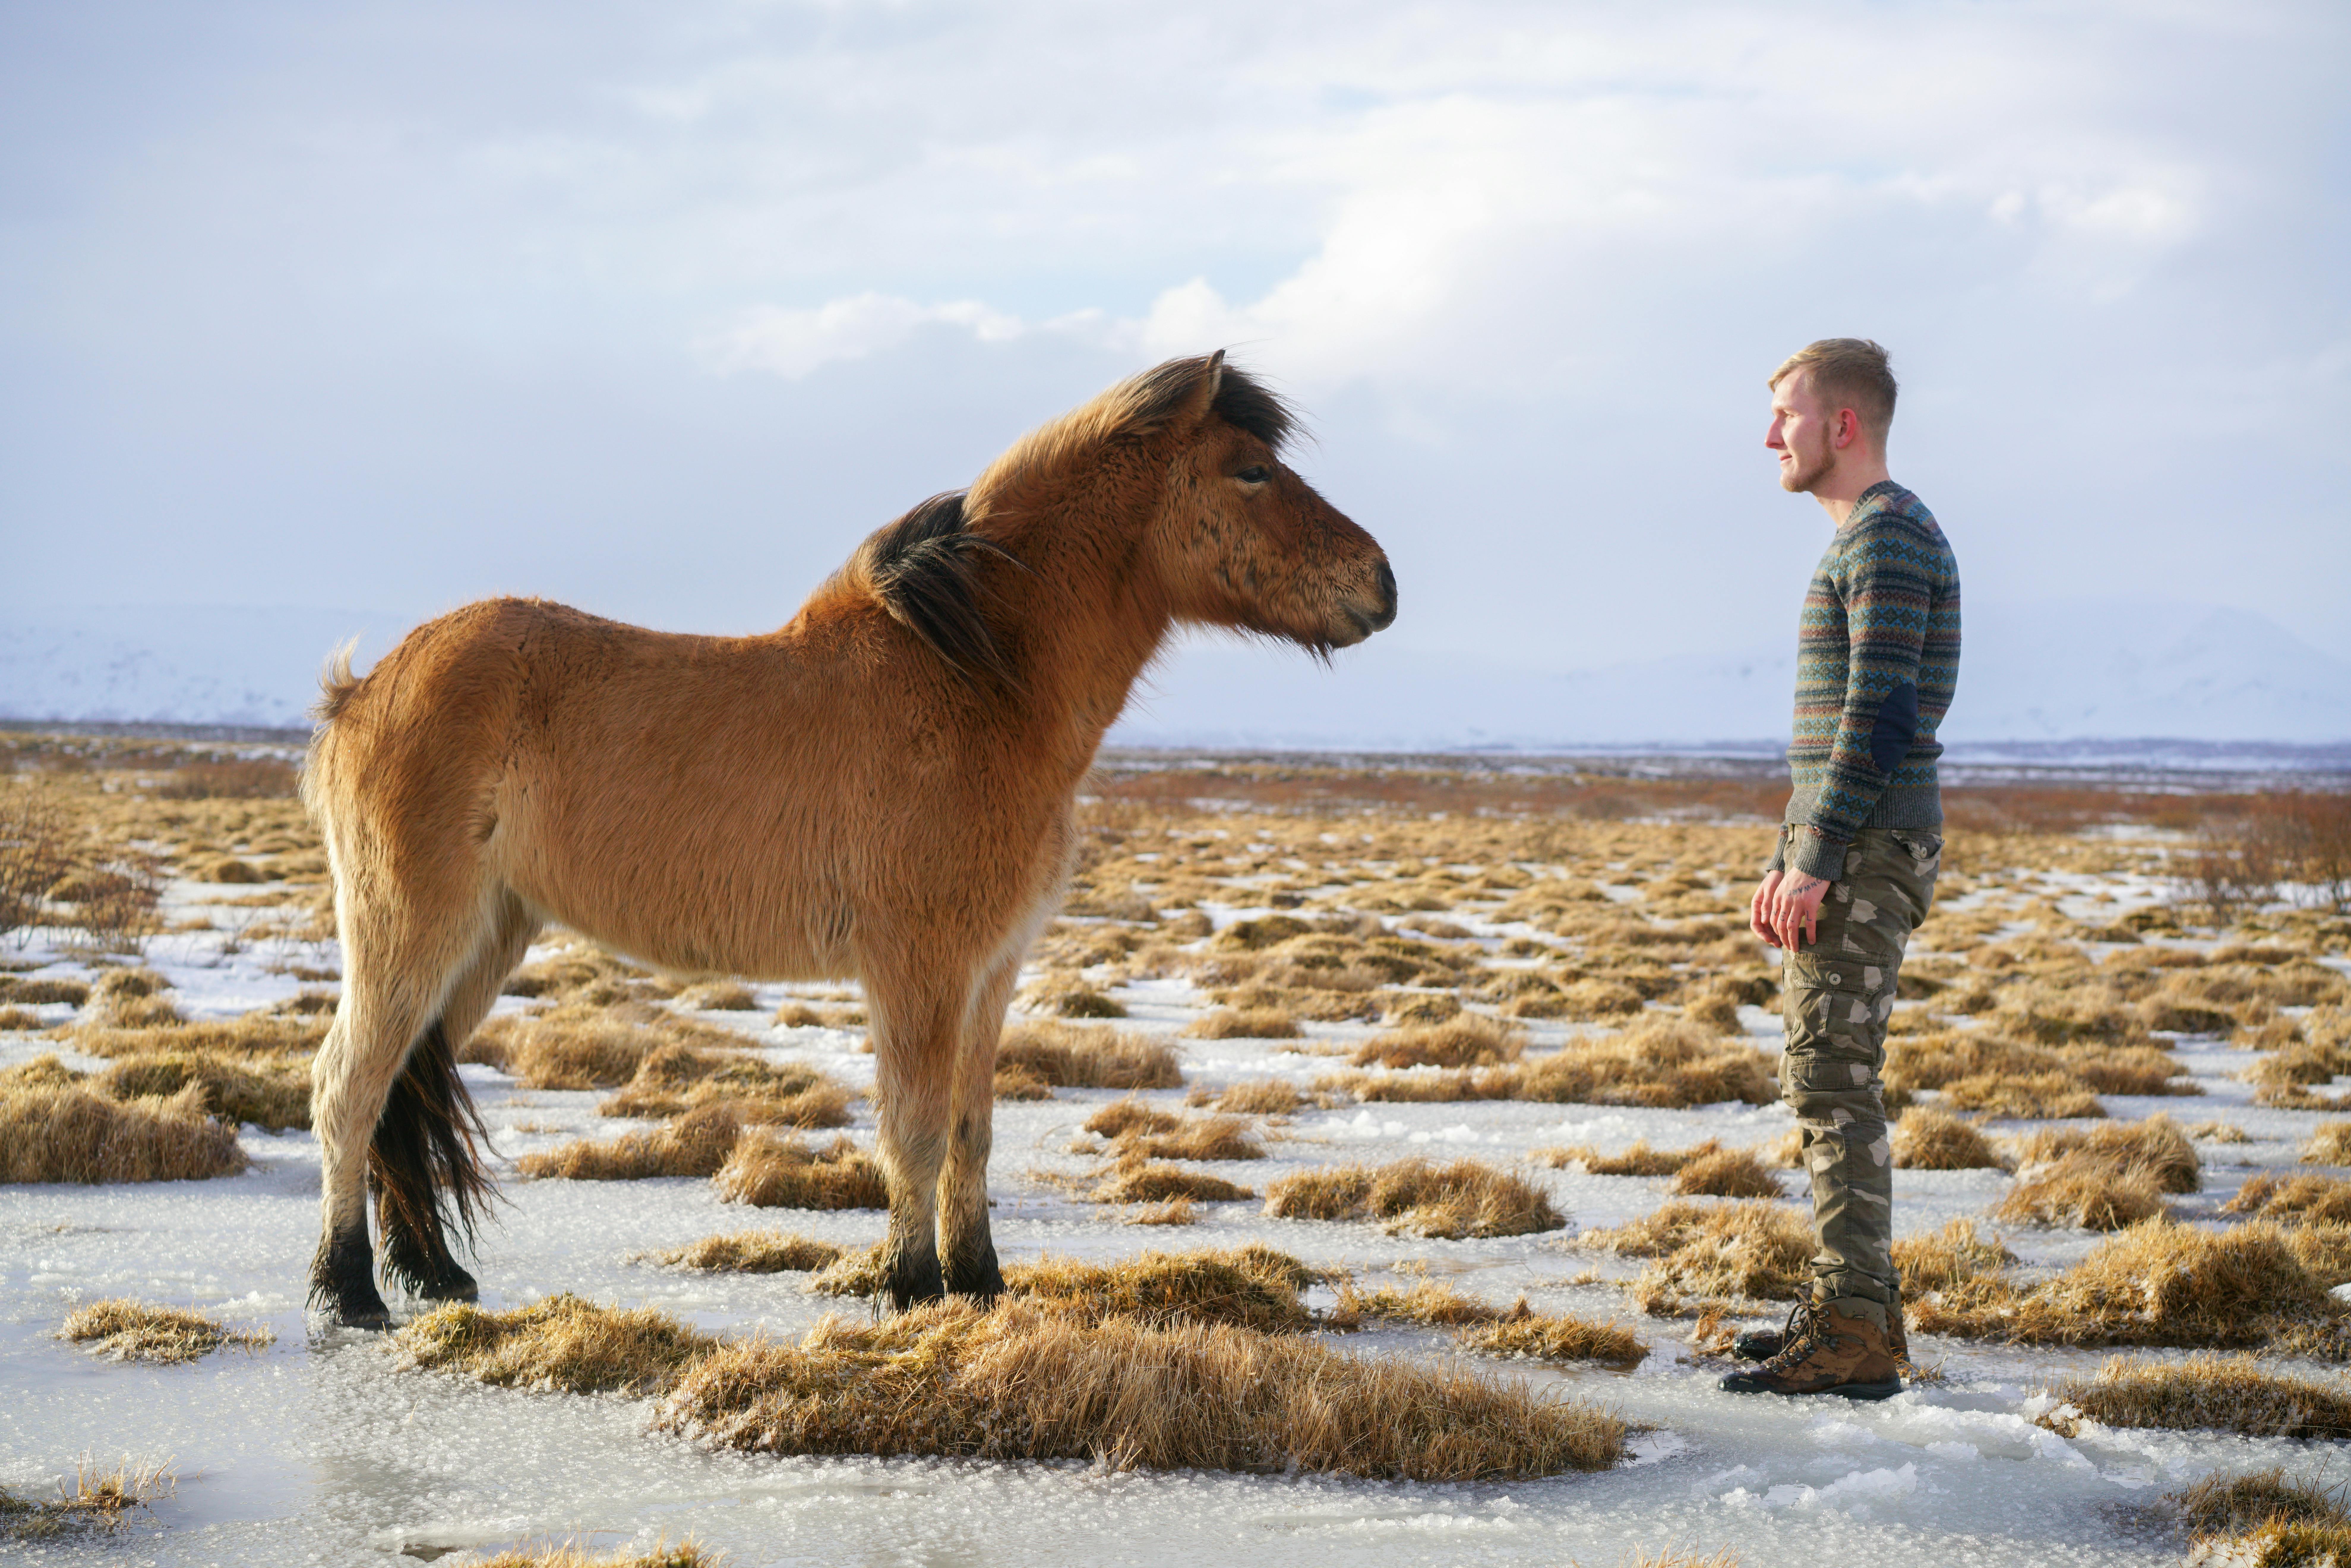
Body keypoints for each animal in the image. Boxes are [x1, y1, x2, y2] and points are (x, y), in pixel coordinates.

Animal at [299, 351, 1397, 1326]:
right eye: (1251, 470)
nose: (1382, 585)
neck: (976, 684)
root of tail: (364, 690)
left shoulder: (990, 971)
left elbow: (972, 1132)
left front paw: (980, 1285)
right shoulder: (918, 968)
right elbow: (913, 1133)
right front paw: (910, 1289)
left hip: (490, 938)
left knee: (401, 1090)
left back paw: (435, 1276)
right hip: (413, 931)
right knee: (348, 1088)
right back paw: (351, 1292)